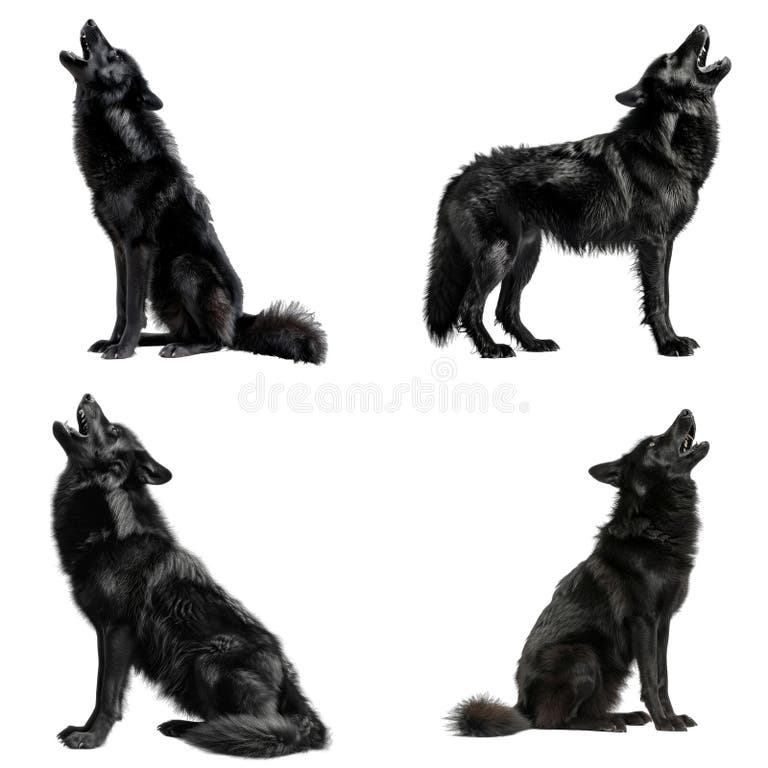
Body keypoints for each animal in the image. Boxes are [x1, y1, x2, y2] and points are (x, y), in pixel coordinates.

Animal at [52, 395, 328, 756]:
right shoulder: (103, 632)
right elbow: (100, 689)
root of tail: (290, 684)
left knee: (265, 728)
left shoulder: (119, 631)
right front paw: (84, 729)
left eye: (114, 430)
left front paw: (93, 739)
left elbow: (108, 694)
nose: (88, 396)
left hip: (206, 661)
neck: (113, 529)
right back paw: (184, 728)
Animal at [60, 21, 327, 362]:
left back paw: (178, 347)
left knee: (215, 340)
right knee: (183, 331)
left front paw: (124, 349)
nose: (91, 21)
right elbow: (120, 304)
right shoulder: (118, 247)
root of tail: (240, 320)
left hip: (184, 267)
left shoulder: (138, 246)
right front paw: (113, 342)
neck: (119, 149)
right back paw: (153, 340)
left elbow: (132, 307)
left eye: (115, 53)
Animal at [425, 26, 730, 357]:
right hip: (499, 257)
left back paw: (534, 344)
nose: (700, 26)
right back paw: (492, 350)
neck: (665, 145)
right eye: (669, 58)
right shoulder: (654, 243)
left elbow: (665, 296)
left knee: (505, 309)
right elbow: (659, 299)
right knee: (470, 307)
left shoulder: (666, 243)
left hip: (526, 256)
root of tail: (461, 175)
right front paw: (669, 343)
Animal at [449, 410, 708, 735]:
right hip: (582, 656)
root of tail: (521, 704)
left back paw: (624, 716)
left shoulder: (663, 624)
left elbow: (662, 677)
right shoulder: (644, 621)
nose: (686, 411)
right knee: (553, 722)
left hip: (608, 671)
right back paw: (607, 723)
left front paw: (672, 716)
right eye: (651, 444)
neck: (653, 528)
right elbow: (650, 677)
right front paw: (664, 722)